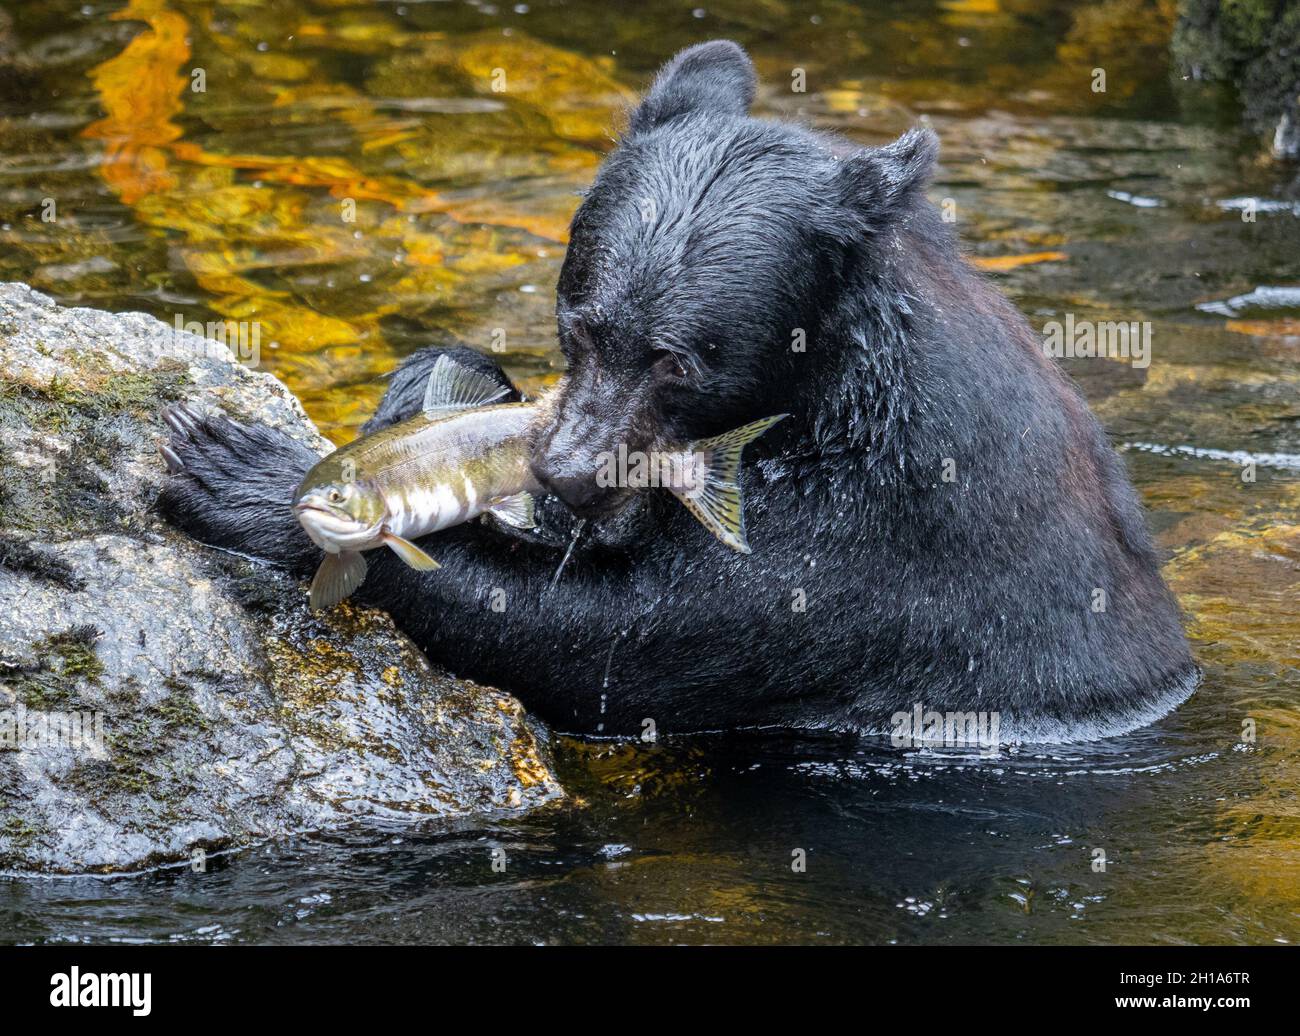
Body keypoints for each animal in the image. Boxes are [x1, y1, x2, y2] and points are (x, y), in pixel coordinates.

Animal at [158, 40, 1197, 742]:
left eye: (680, 360)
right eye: (576, 320)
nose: (566, 474)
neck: (830, 387)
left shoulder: (885, 528)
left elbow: (610, 640)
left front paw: (236, 467)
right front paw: (434, 385)